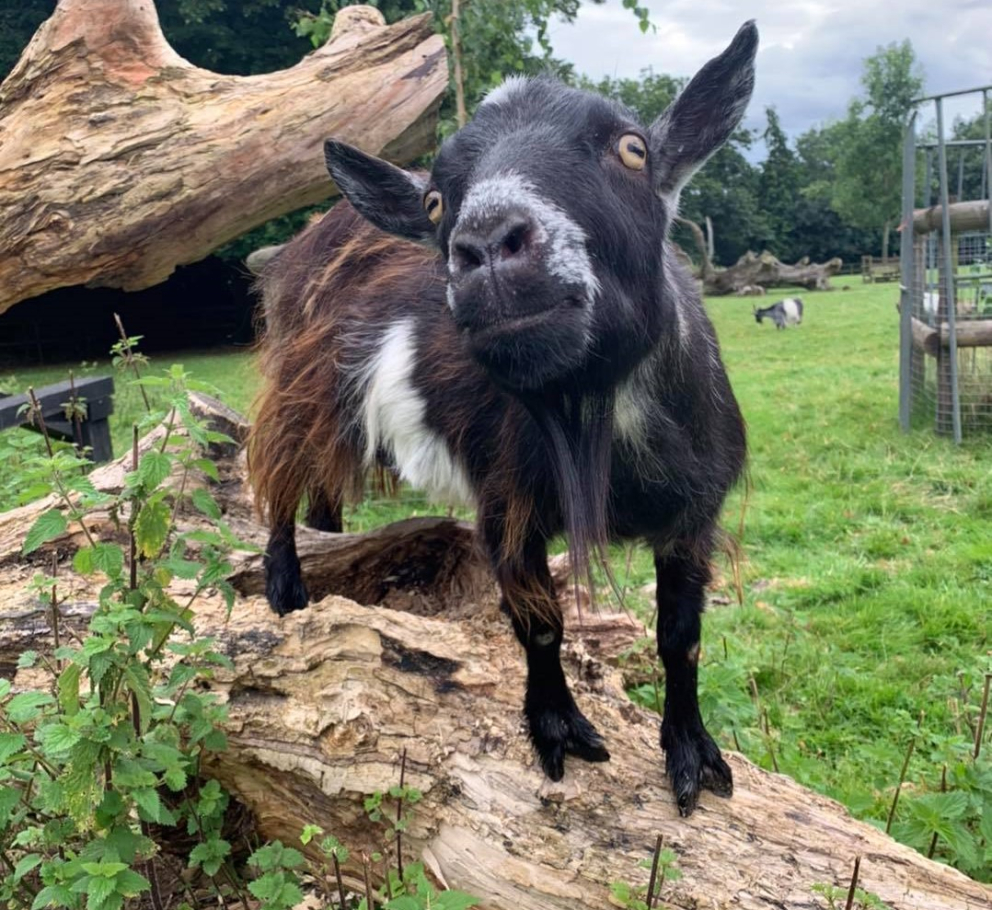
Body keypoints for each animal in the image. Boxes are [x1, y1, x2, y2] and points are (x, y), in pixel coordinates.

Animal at [248, 22, 758, 817]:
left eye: (632, 148)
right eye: (434, 201)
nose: (487, 244)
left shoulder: (693, 515)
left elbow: (681, 636)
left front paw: (692, 757)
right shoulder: (505, 504)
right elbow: (538, 622)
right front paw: (558, 731)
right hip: (300, 385)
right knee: (278, 469)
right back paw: (287, 589)